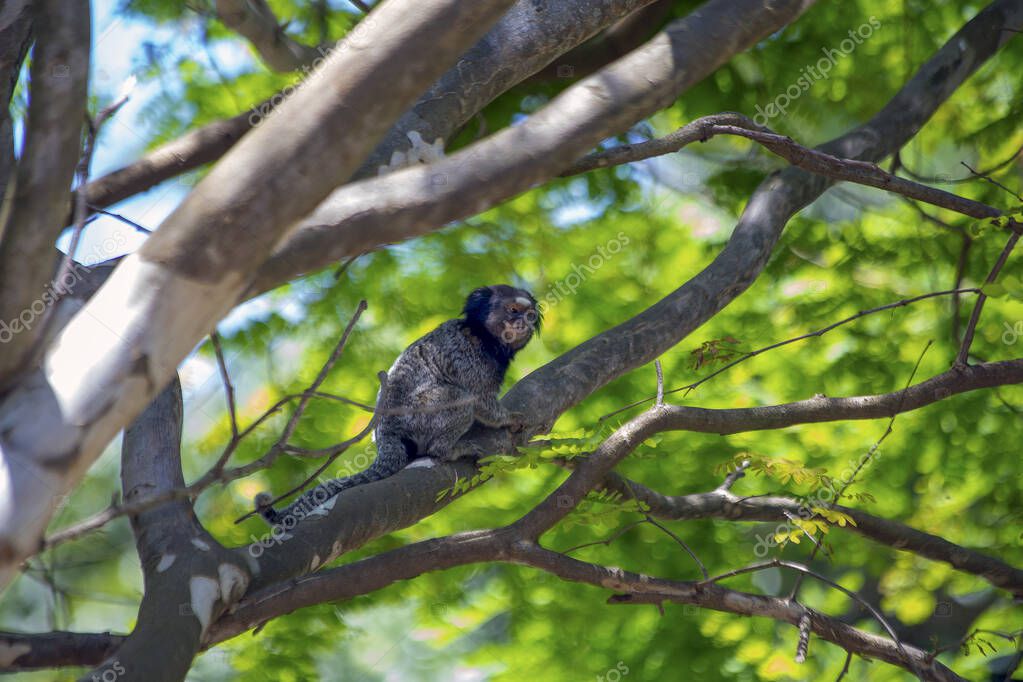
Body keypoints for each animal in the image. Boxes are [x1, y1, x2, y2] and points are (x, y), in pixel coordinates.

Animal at [255, 284, 540, 526]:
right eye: (513, 310)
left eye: (530, 315)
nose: (522, 322)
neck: (485, 337)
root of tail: (385, 433)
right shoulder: (469, 357)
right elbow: (479, 399)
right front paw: (508, 418)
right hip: (421, 413)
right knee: (458, 398)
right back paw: (447, 449)